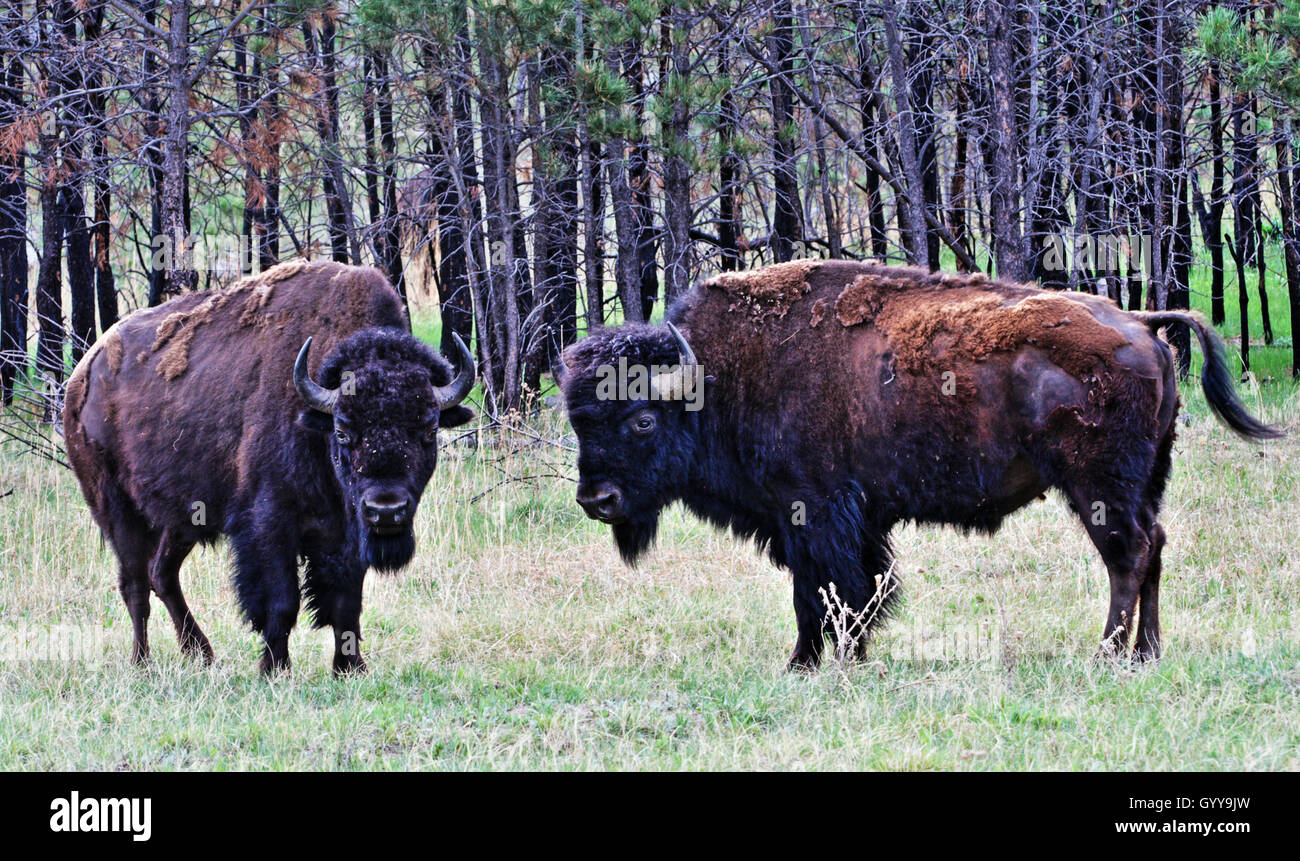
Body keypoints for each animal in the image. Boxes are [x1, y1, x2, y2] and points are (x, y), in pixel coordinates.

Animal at [63, 259, 474, 674]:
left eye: (428, 428)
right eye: (343, 430)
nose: (386, 510)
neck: (315, 420)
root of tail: (82, 375)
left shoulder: (346, 531)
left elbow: (347, 603)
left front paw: (350, 669)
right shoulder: (270, 524)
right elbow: (281, 602)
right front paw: (274, 669)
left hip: (180, 517)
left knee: (161, 573)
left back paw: (201, 653)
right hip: (116, 508)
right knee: (134, 584)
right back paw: (142, 662)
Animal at [559, 260, 1279, 669]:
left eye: (641, 419)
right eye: (576, 421)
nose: (597, 501)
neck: (716, 377)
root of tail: (1140, 323)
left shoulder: (811, 514)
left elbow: (823, 591)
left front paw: (812, 662)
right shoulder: (841, 522)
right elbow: (850, 588)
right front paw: (839, 655)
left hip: (1098, 486)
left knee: (1128, 555)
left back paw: (1106, 656)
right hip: (1146, 481)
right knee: (1155, 545)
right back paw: (1145, 655)